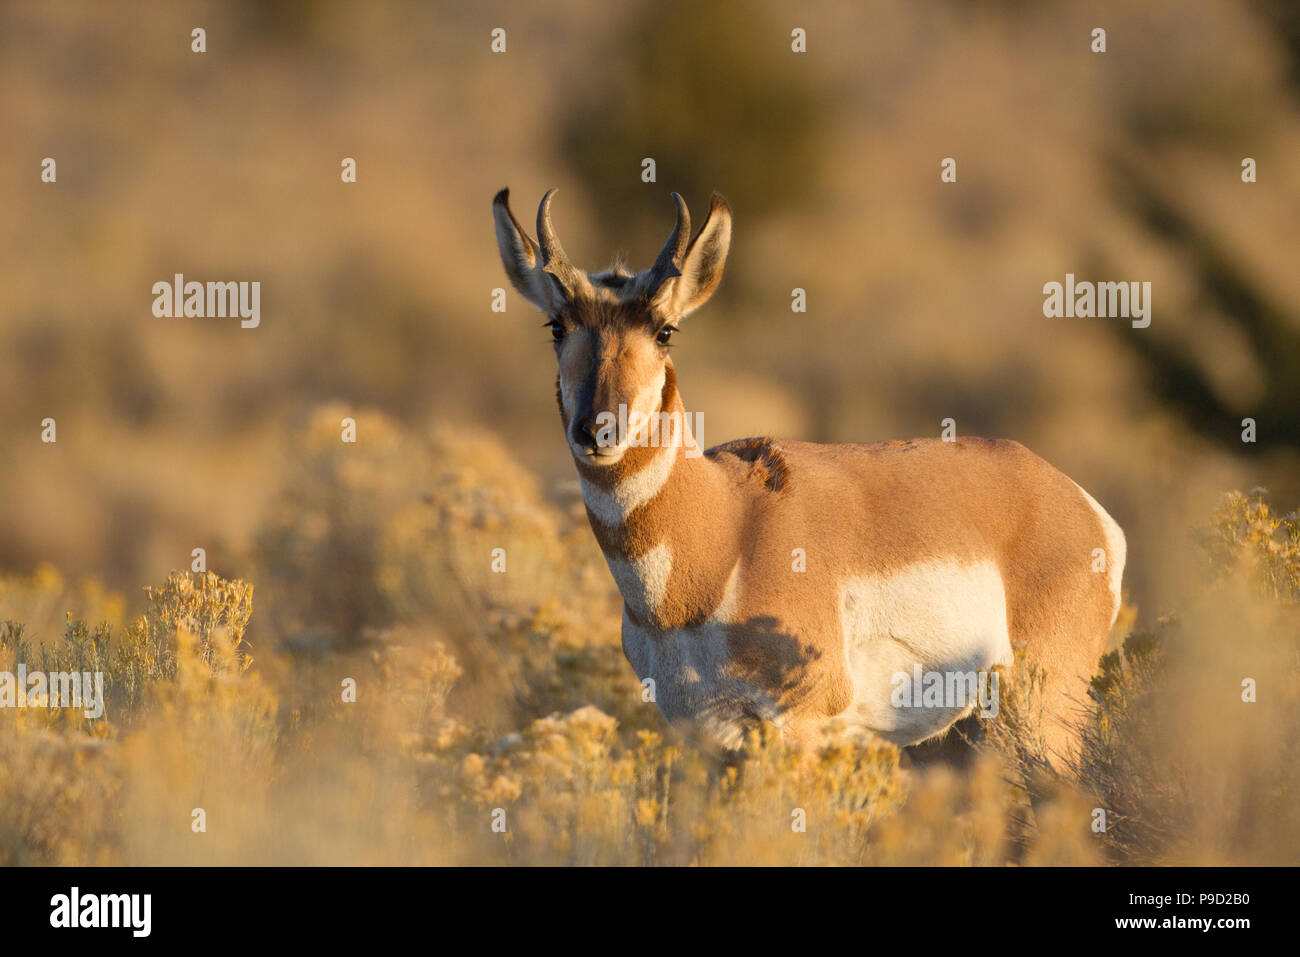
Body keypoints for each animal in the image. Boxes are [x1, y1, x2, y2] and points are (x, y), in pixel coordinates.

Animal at [492, 187, 1126, 762]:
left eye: (665, 330)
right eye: (556, 326)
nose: (598, 430)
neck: (723, 531)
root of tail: (1078, 503)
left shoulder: (797, 726)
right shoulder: (703, 739)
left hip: (1044, 712)